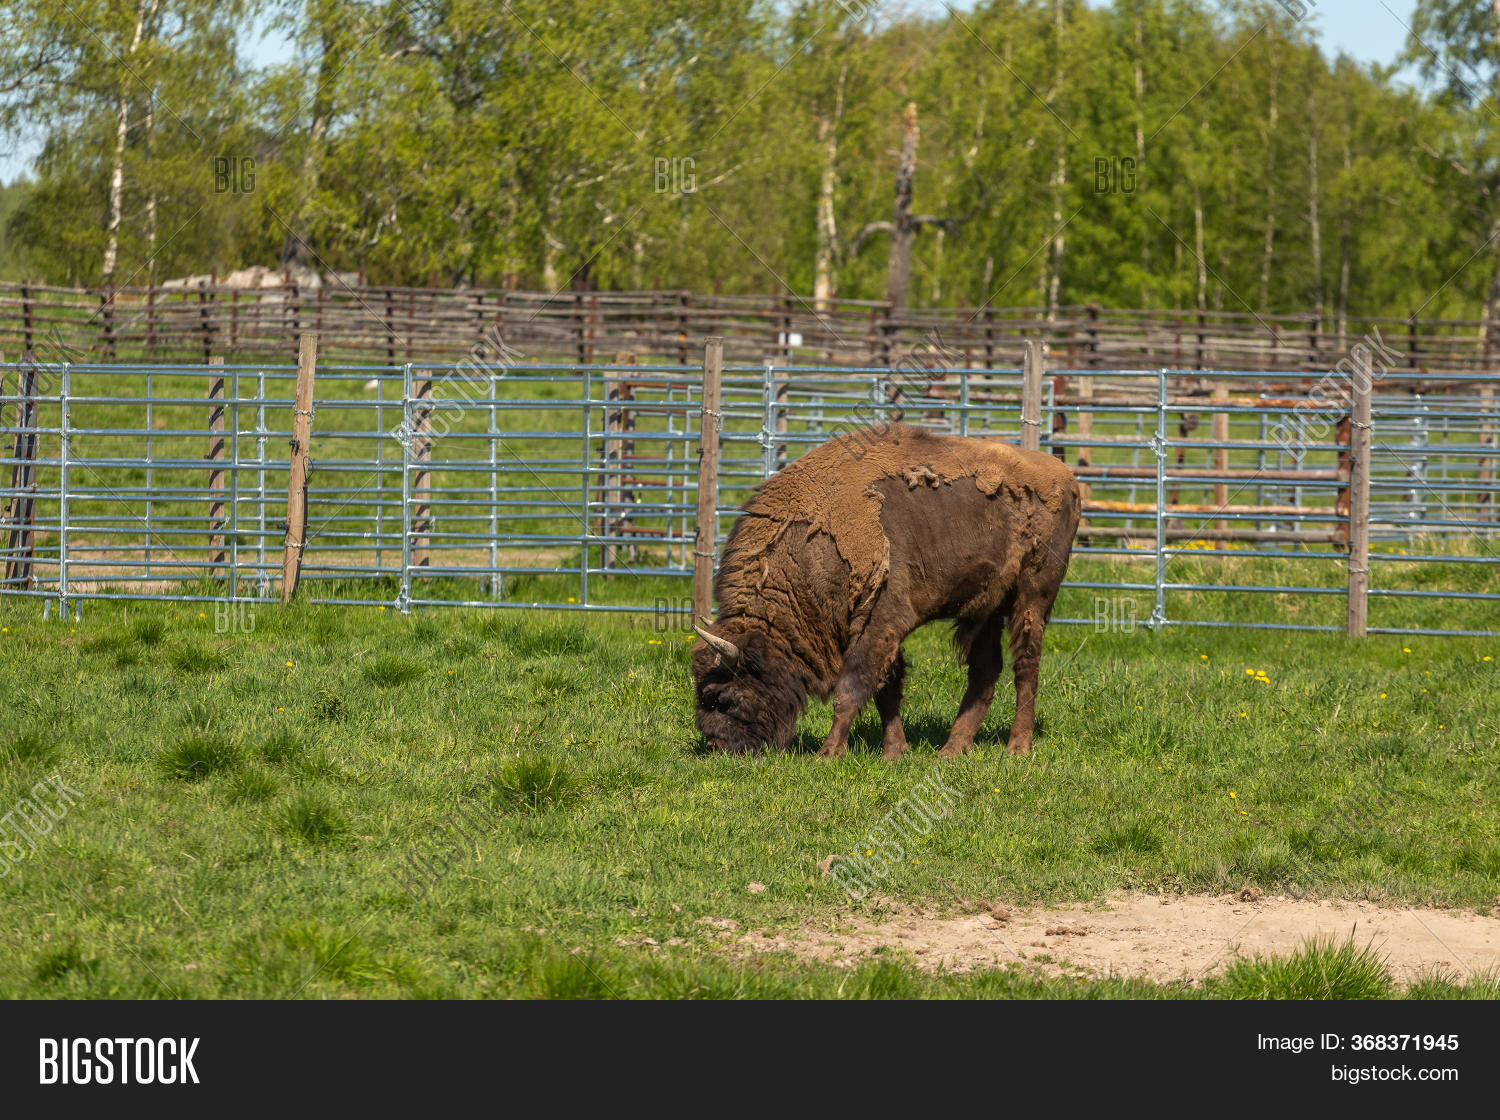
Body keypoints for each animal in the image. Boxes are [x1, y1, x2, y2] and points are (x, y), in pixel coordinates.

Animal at [691, 422, 1080, 758]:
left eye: (720, 697)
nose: (715, 747)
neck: (811, 549)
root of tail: (1066, 477)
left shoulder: (883, 620)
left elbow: (851, 688)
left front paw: (828, 754)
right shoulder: (881, 630)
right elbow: (886, 688)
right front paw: (895, 752)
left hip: (1032, 598)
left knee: (1026, 665)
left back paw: (1017, 747)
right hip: (986, 608)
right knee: (985, 672)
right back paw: (951, 750)